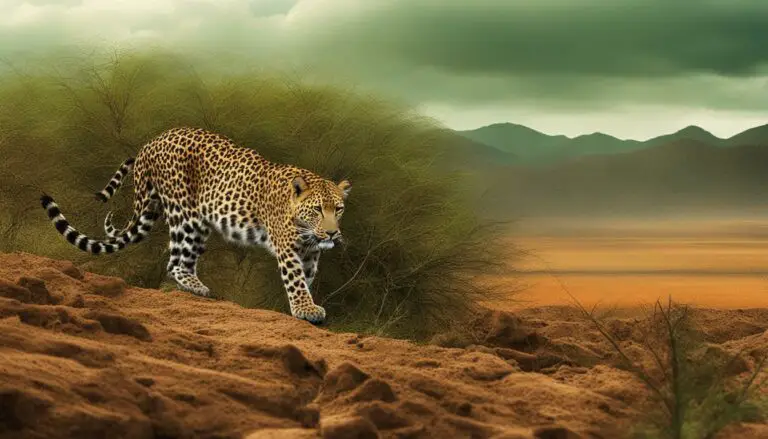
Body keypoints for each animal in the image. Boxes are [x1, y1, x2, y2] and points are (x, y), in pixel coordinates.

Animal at [40, 127, 351, 324]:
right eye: (316, 210)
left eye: (338, 209)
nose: (332, 233)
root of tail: (153, 140)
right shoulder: (287, 247)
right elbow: (295, 279)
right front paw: (305, 309)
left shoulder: (310, 253)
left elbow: (306, 277)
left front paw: (304, 306)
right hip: (187, 216)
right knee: (175, 262)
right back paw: (198, 288)